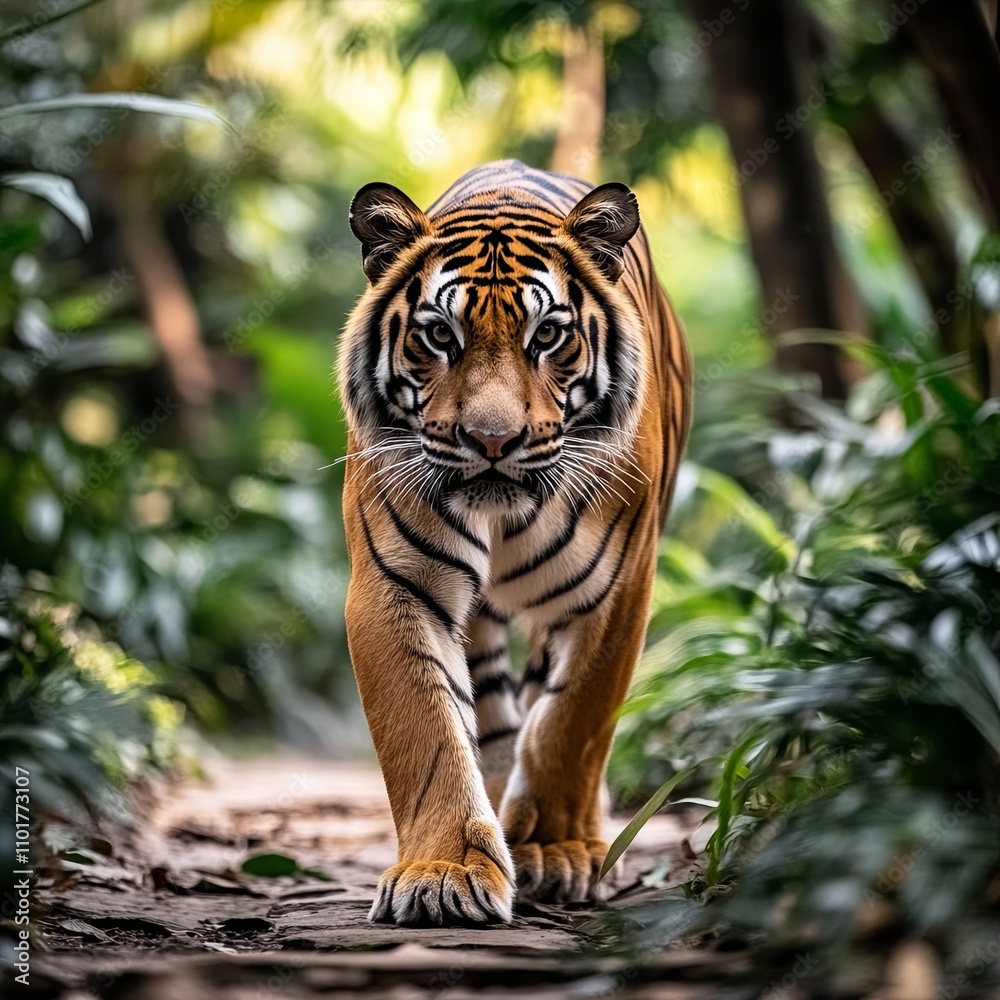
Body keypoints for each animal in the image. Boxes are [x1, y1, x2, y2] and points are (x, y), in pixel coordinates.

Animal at [338, 159, 690, 925]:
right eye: (440, 335)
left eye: (549, 335)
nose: (492, 440)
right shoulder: (395, 585)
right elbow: (428, 732)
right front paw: (443, 872)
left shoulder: (618, 590)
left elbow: (571, 724)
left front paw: (556, 851)